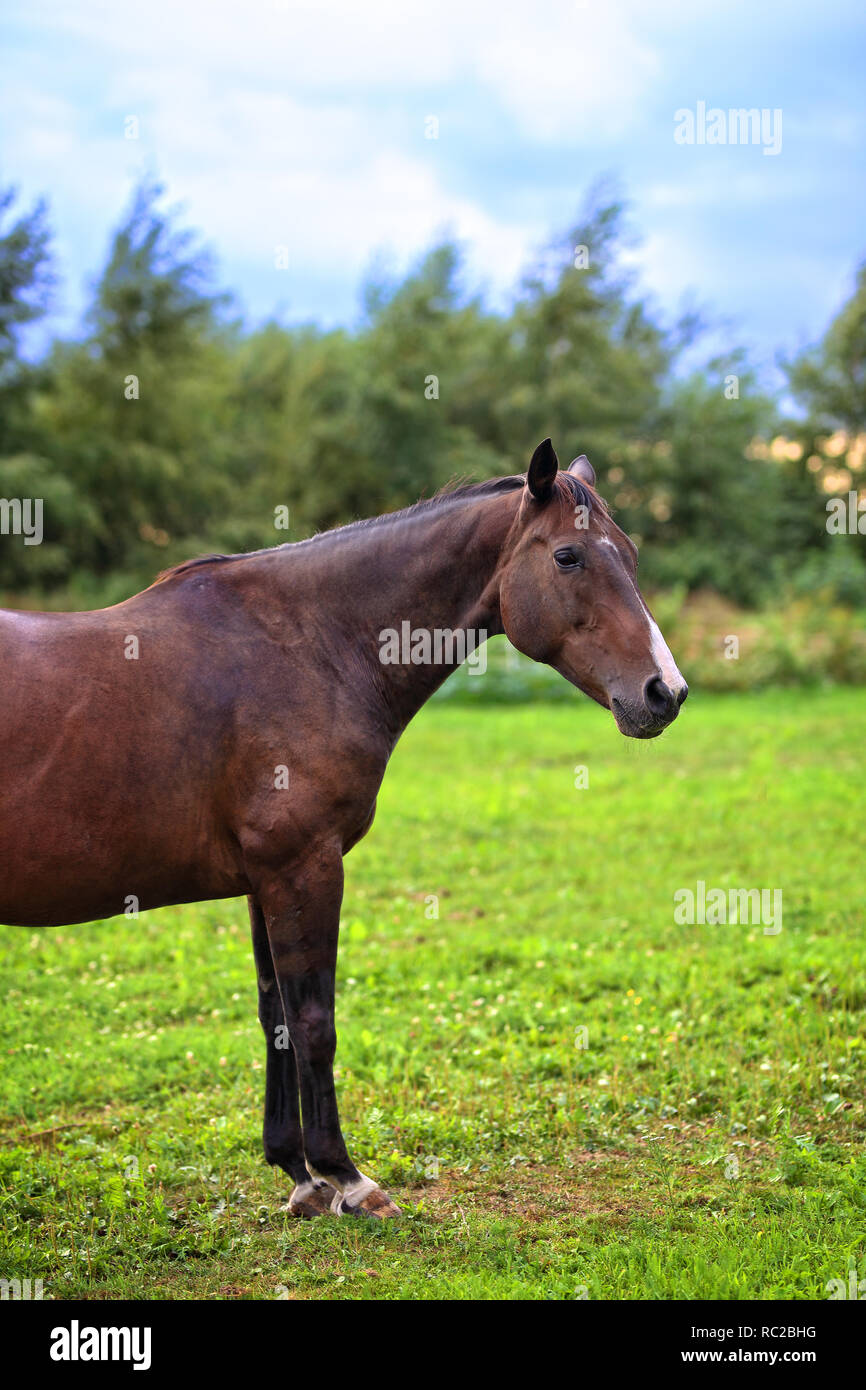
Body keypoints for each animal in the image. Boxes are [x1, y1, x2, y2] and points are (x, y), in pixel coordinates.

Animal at [0, 440, 687, 1217]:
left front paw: (299, 1175)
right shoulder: (304, 868)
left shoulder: (263, 881)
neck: (309, 648)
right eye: (569, 556)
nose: (665, 692)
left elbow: (275, 1015)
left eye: (629, 554)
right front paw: (348, 1177)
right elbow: (314, 1022)